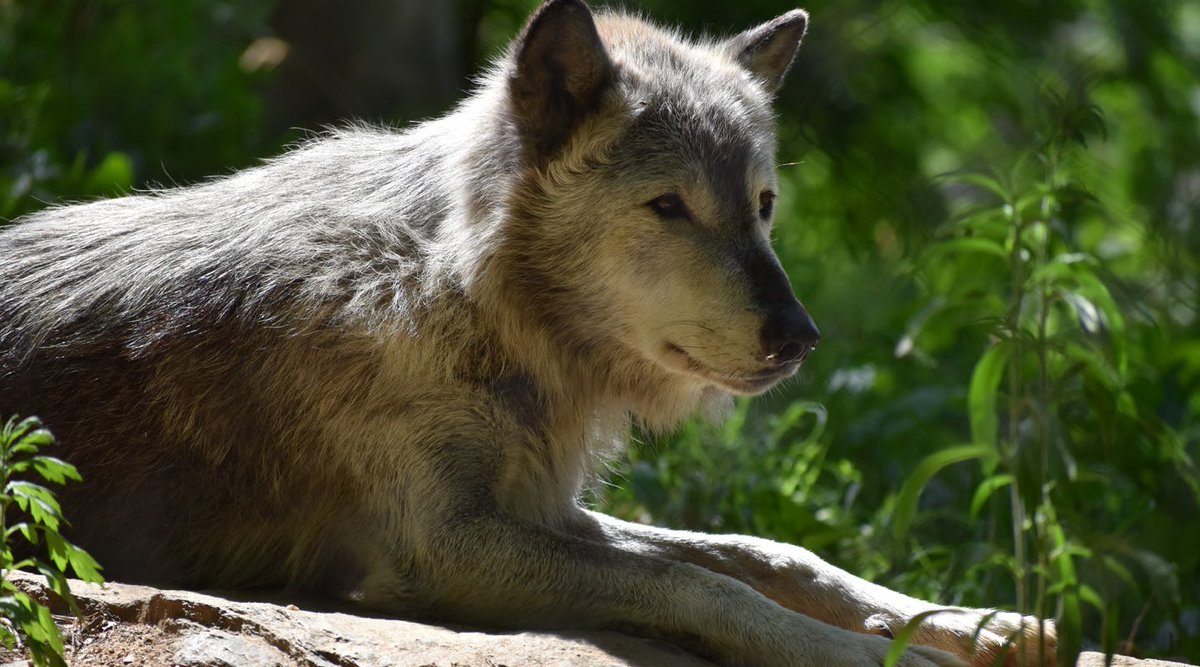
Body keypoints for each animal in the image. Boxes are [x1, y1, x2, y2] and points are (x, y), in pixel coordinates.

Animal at [0, 1, 1054, 665]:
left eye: (762, 207)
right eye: (669, 206)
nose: (799, 336)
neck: (464, 300)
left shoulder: (542, 502)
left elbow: (766, 554)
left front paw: (981, 624)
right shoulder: (440, 548)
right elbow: (700, 584)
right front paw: (882, 655)